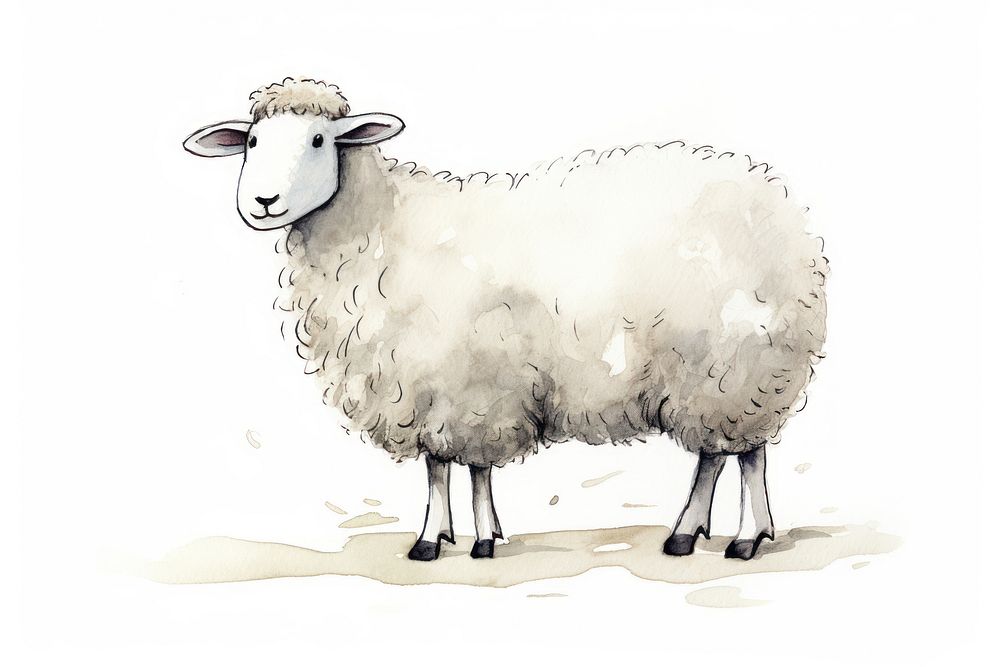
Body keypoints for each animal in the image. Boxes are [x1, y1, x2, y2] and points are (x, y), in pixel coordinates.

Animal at [184, 77, 828, 562]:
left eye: (318, 139)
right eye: (252, 142)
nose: (262, 202)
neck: (383, 228)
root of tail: (778, 207)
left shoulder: (477, 387)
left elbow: (474, 471)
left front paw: (481, 540)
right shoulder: (427, 384)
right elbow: (436, 468)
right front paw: (434, 538)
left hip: (739, 363)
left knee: (746, 454)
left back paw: (746, 538)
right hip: (708, 373)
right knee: (715, 455)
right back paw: (684, 534)